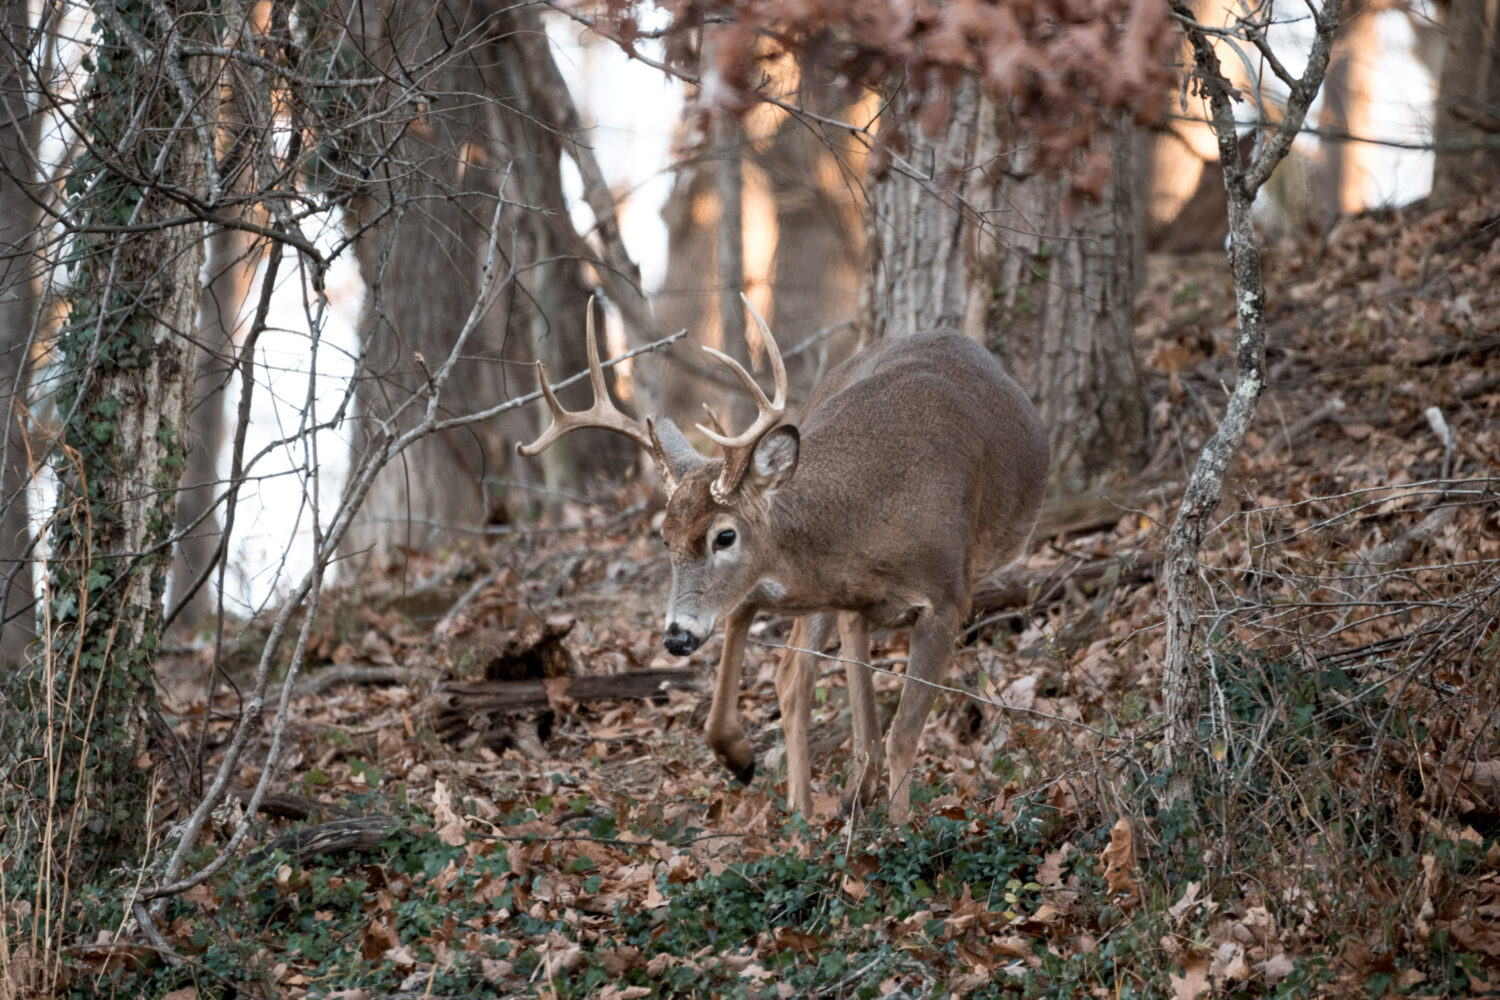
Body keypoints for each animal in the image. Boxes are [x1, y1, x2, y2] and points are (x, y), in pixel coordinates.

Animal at [517, 298, 1048, 822]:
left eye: (724, 535)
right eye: (665, 539)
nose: (676, 636)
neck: (878, 522)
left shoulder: (947, 598)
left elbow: (898, 734)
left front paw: (899, 830)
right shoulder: (854, 601)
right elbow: (869, 723)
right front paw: (874, 813)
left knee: (793, 668)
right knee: (787, 667)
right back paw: (785, 794)